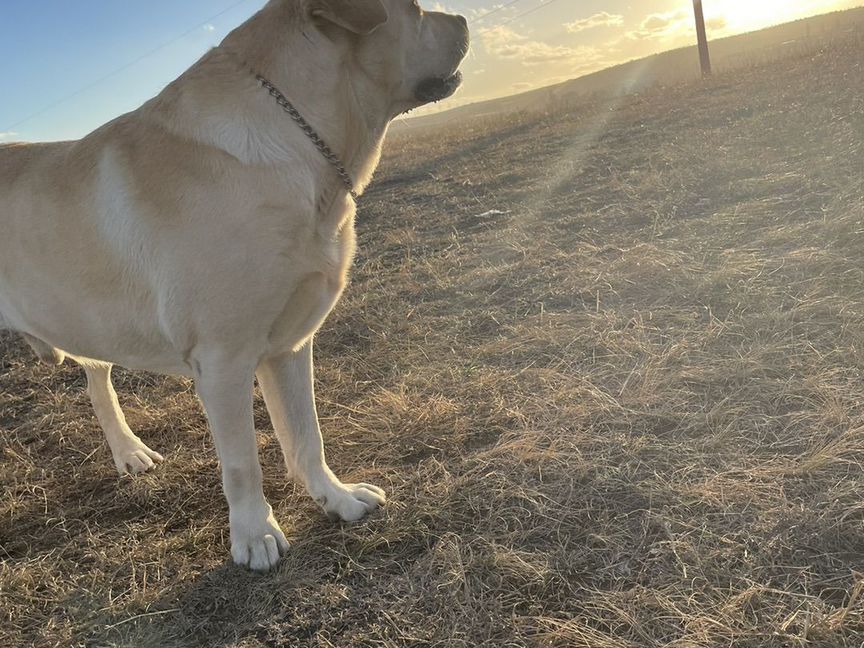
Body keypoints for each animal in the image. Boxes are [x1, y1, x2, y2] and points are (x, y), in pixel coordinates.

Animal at [0, 0, 470, 572]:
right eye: (416, 10)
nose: (465, 21)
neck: (297, 142)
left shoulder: (289, 345)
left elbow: (307, 436)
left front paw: (337, 499)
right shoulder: (223, 359)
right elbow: (244, 461)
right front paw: (255, 534)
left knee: (97, 380)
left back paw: (129, 452)